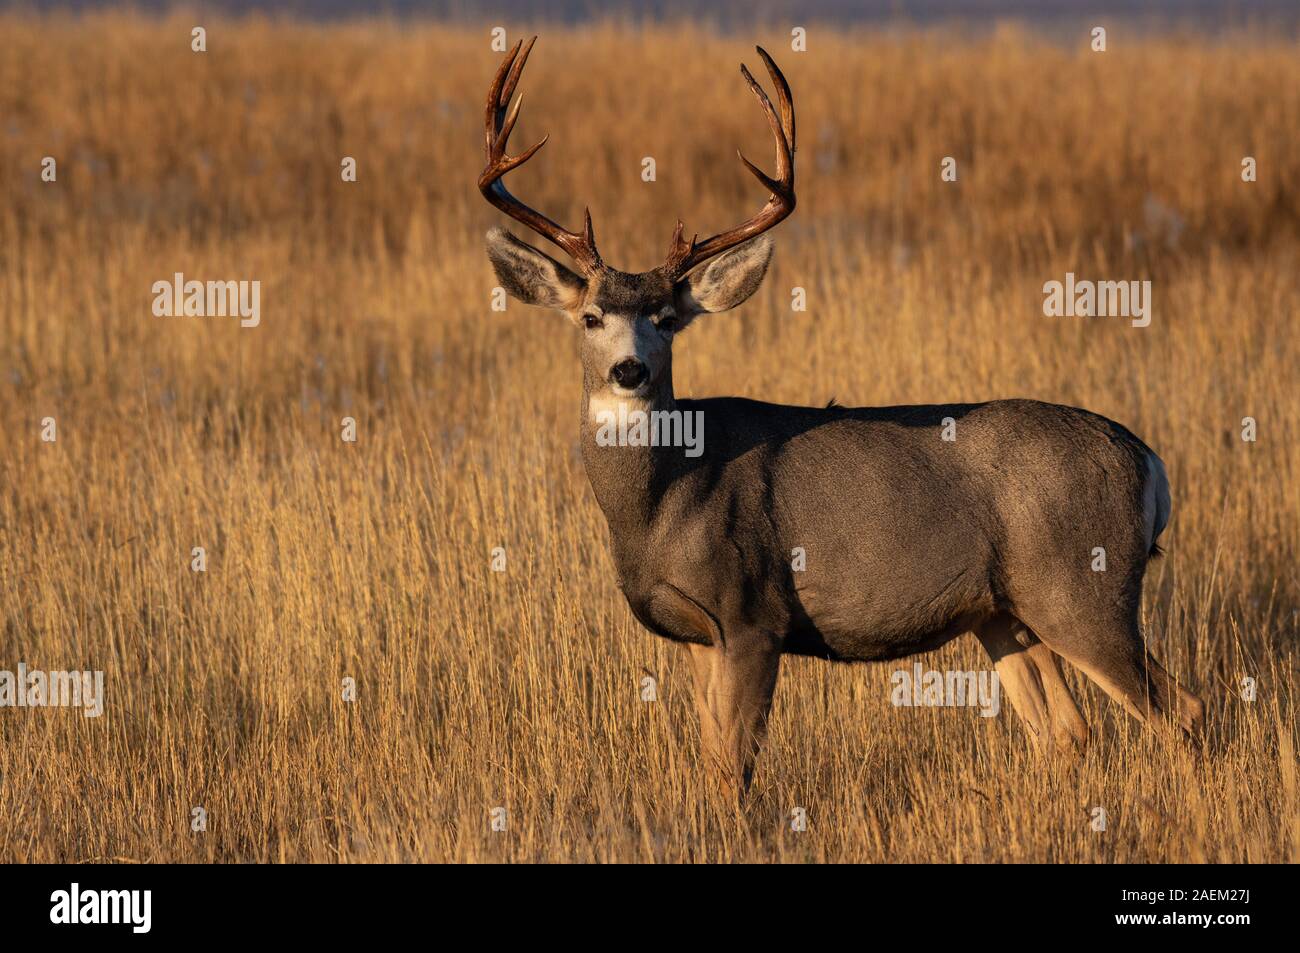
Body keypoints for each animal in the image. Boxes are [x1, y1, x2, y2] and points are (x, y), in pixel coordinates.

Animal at [479, 38, 1205, 795]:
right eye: (591, 316)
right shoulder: (697, 636)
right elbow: (710, 761)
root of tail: (1149, 463)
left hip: (1083, 586)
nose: (630, 370)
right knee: (1066, 731)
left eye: (667, 319)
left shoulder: (752, 612)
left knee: (1180, 708)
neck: (665, 500)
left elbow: (735, 768)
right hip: (1007, 611)